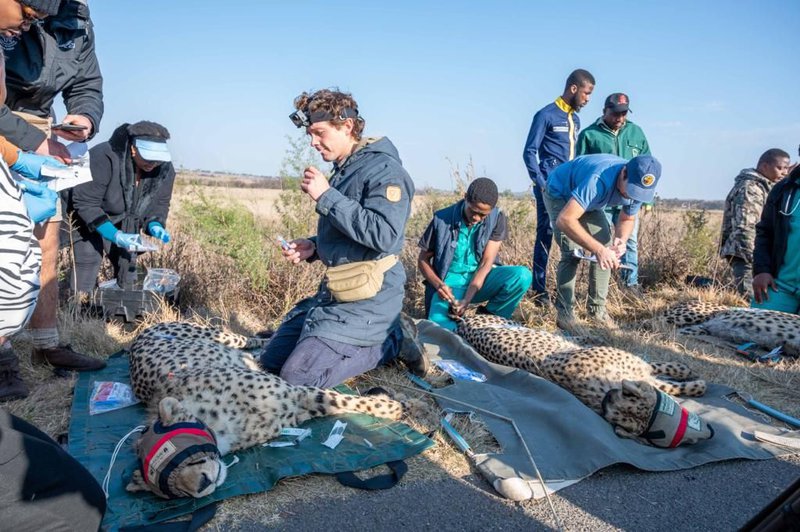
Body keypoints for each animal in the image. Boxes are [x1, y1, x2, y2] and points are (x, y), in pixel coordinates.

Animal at [125, 321, 405, 499]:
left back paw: (267, 337)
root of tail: (139, 335)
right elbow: (335, 403)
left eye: (179, 456)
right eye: (176, 490)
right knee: (256, 353)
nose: (202, 485)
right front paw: (392, 405)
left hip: (221, 335)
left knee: (249, 340)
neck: (218, 424)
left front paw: (395, 407)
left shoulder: (296, 392)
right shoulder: (295, 409)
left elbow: (347, 401)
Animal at [455, 313, 710, 446]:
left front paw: (684, 373)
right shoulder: (640, 371)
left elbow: (660, 374)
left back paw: (584, 335)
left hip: (515, 324)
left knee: (559, 334)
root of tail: (462, 324)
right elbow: (665, 380)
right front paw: (691, 377)